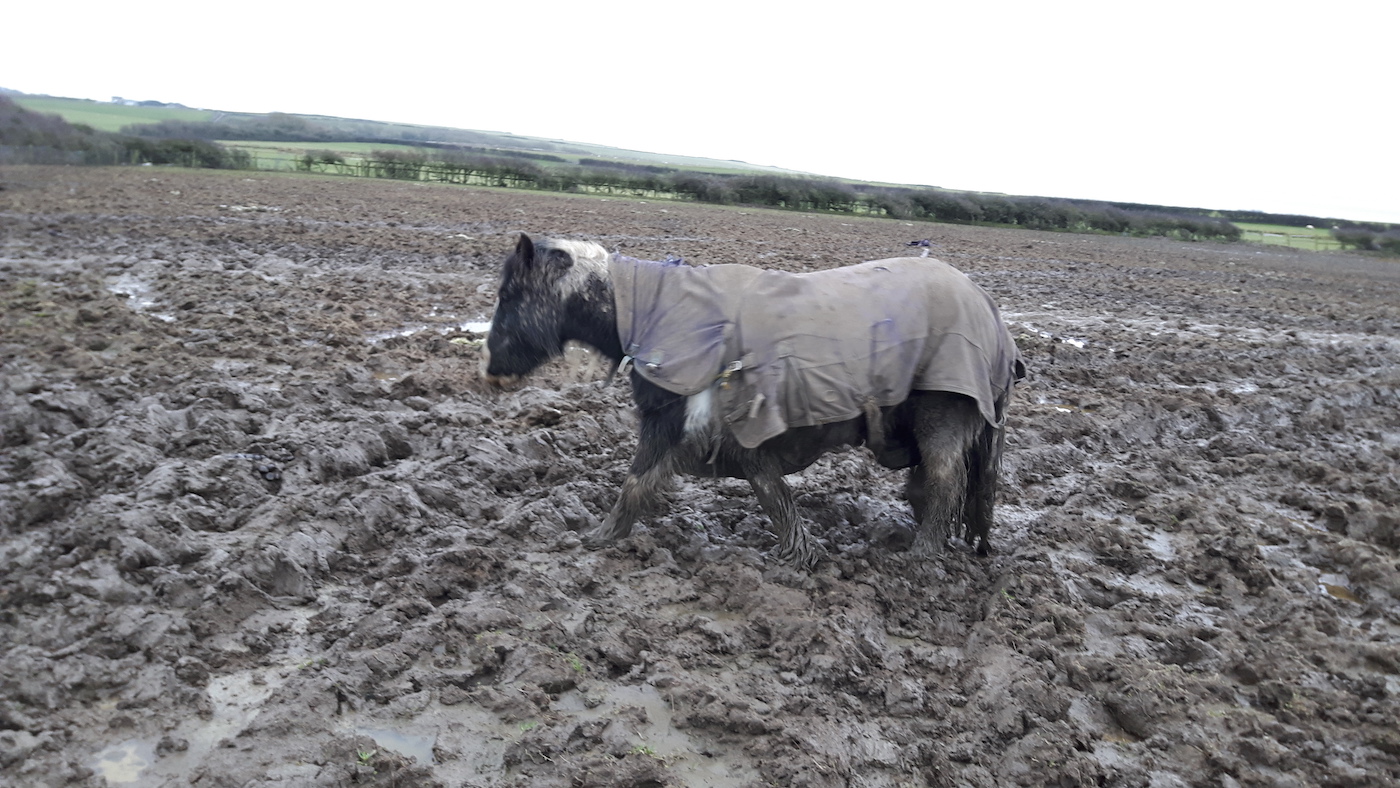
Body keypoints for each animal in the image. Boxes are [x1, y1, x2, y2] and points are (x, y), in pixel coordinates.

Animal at [483, 234, 1024, 569]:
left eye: (511, 293)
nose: (490, 371)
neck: (654, 314)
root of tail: (990, 312)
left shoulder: (694, 424)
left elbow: (646, 483)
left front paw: (595, 540)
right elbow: (665, 484)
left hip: (942, 414)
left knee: (945, 480)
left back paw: (921, 557)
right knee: (931, 484)